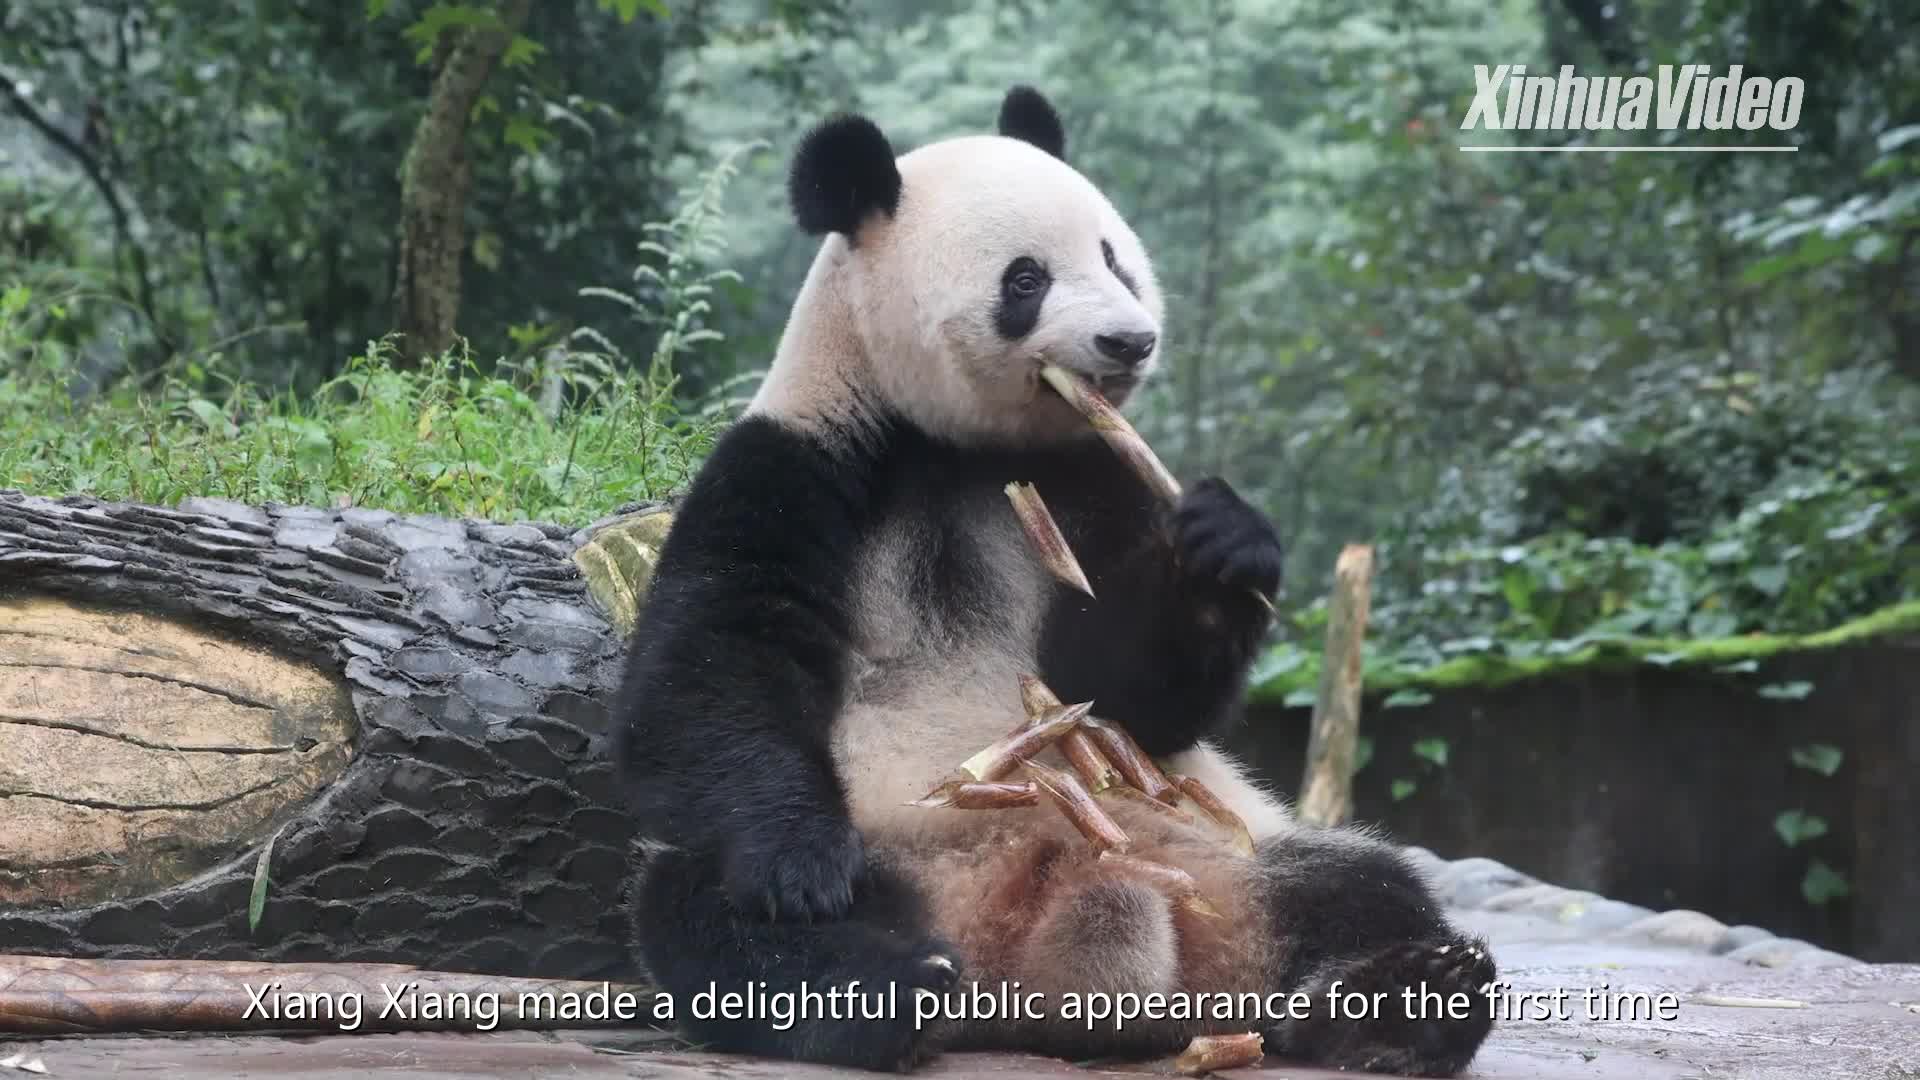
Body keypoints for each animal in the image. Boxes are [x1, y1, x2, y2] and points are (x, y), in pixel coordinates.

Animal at [612, 86, 1496, 1076]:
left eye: (1115, 258)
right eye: (1025, 279)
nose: (1130, 340)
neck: (959, 448)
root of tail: (1041, 952)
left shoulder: (1089, 483)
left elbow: (1131, 697)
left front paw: (1224, 543)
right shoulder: (796, 466)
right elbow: (711, 668)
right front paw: (803, 870)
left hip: (1222, 847)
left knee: (1360, 883)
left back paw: (1414, 992)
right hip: (889, 854)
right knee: (705, 916)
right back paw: (886, 986)